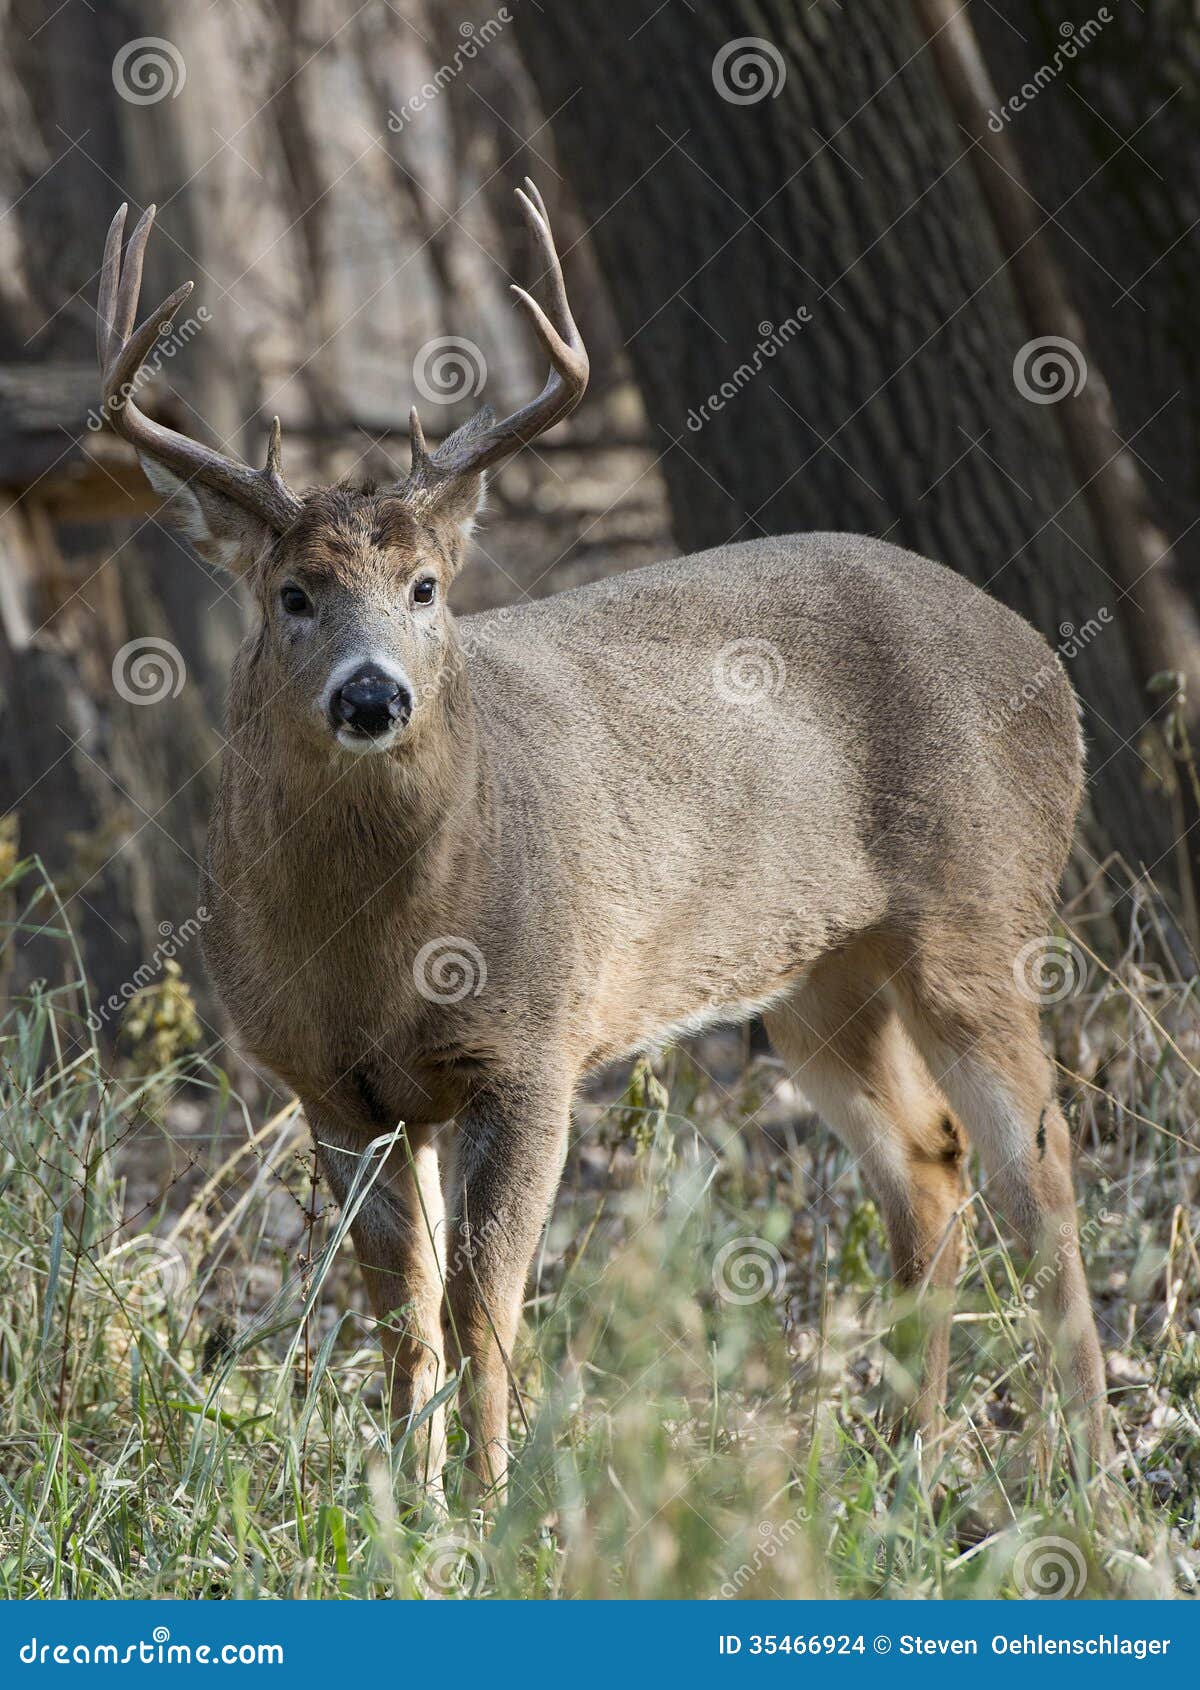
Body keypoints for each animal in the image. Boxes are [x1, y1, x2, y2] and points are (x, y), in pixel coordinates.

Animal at [95, 183, 1110, 1500]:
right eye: (292, 594)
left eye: (425, 587)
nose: (371, 696)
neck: (379, 949)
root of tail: (1045, 659)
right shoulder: (328, 1082)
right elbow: (402, 1313)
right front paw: (402, 1502)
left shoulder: (532, 1045)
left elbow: (482, 1299)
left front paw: (486, 1501)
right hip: (816, 975)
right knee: (931, 1166)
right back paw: (903, 1460)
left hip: (980, 912)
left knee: (1041, 1166)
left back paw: (1090, 1474)